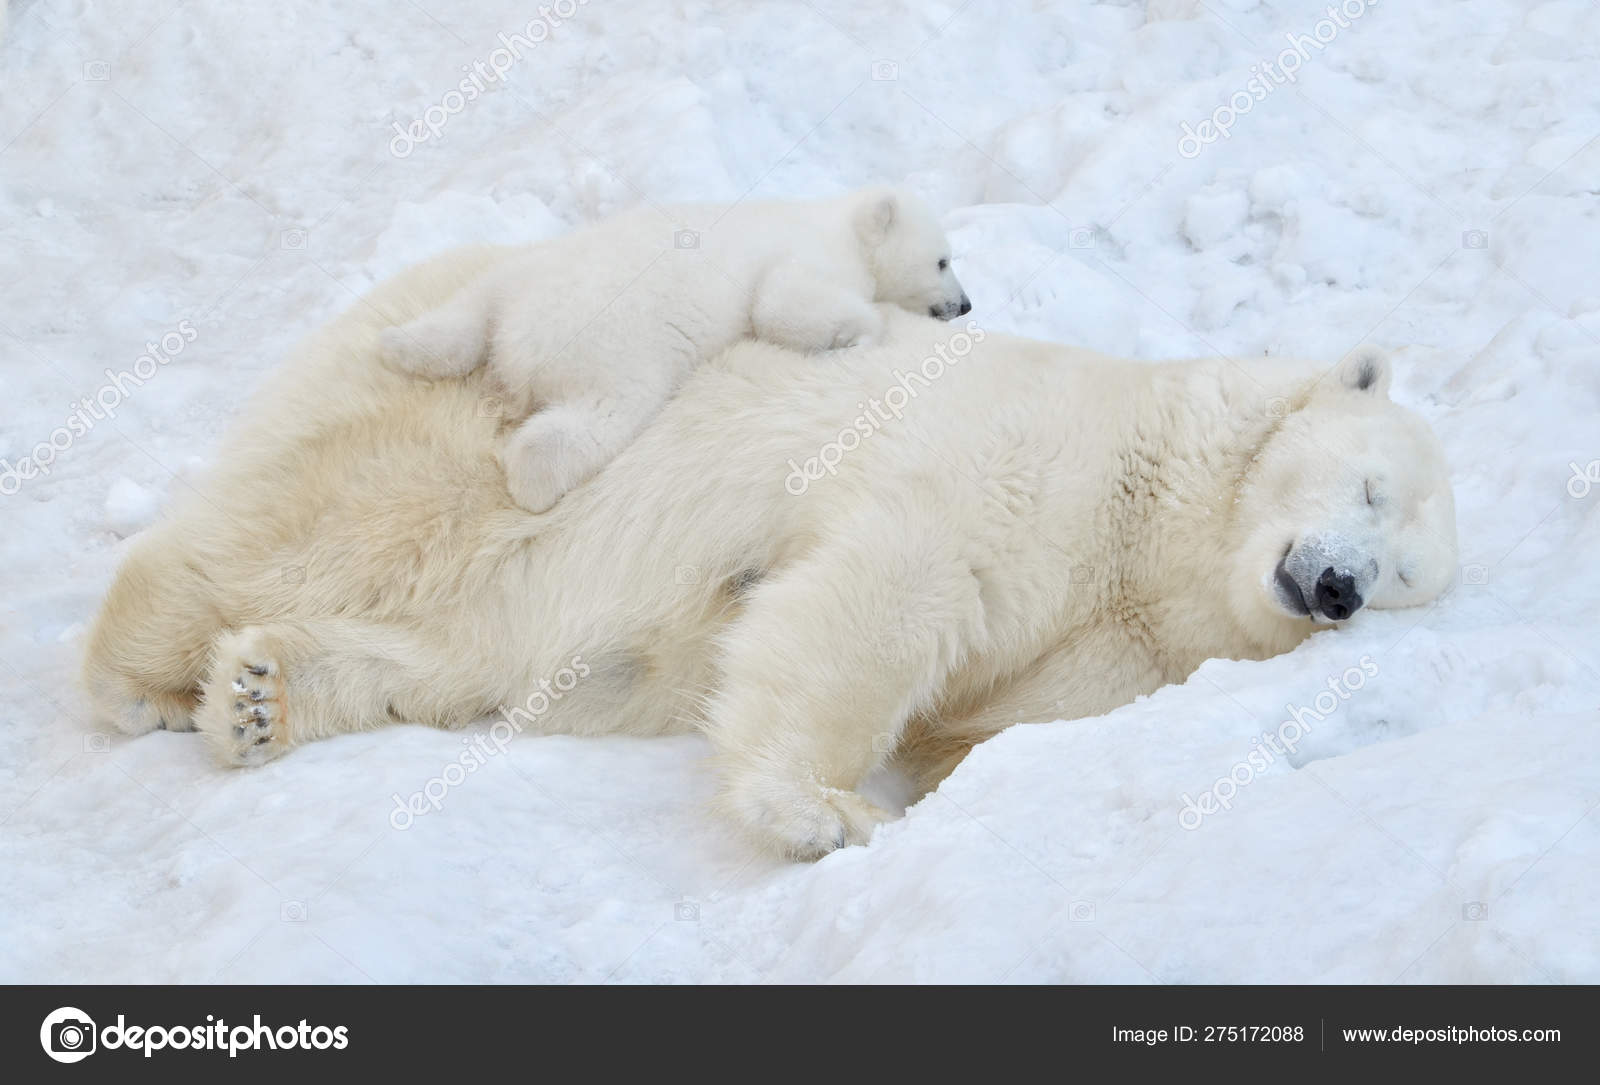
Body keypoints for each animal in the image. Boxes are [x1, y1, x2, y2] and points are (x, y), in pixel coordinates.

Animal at [80, 245, 1458, 859]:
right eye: (1370, 485)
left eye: (1402, 581)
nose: (1334, 585)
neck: (1155, 512)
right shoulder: (1027, 459)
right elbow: (893, 588)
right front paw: (821, 807)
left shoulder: (1118, 643)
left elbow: (982, 725)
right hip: (473, 428)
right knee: (327, 524)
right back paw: (139, 672)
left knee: (465, 654)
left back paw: (263, 695)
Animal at [378, 187, 971, 512]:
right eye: (943, 259)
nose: (964, 304)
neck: (841, 224)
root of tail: (522, 348)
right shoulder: (809, 256)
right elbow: (779, 302)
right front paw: (861, 333)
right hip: (617, 356)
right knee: (594, 420)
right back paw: (532, 482)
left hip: (528, 274)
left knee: (471, 306)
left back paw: (400, 345)